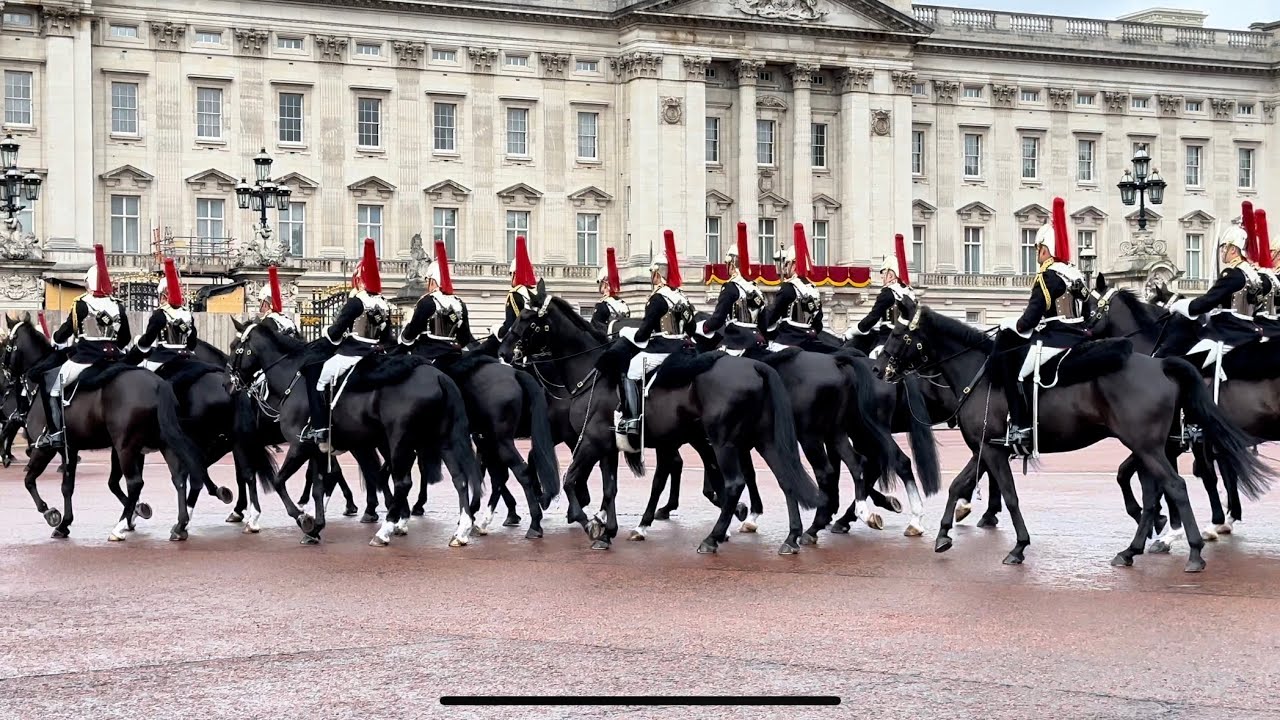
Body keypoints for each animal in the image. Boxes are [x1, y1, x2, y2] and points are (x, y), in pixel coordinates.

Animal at [2, 315, 213, 542]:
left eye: (5, 344)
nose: (5, 376)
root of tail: (158, 384)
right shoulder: (70, 449)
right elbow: (68, 486)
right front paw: (65, 523)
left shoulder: (46, 448)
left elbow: (30, 480)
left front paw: (50, 513)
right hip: (162, 443)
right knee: (178, 477)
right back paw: (180, 525)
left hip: (125, 447)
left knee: (135, 483)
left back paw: (118, 528)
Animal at [228, 320, 488, 547]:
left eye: (234, 346)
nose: (229, 385)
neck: (292, 378)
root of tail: (439, 375)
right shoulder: (317, 449)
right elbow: (319, 486)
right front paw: (315, 527)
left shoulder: (299, 445)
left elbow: (279, 480)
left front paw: (303, 519)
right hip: (442, 439)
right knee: (459, 479)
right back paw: (461, 531)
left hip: (399, 441)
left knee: (403, 482)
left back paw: (385, 531)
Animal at [500, 289, 826, 555]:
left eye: (527, 320)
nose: (503, 352)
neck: (593, 372)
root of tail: (756, 366)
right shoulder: (608, 445)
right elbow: (609, 488)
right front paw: (607, 532)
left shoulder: (592, 440)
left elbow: (570, 480)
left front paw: (591, 524)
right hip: (762, 438)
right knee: (785, 477)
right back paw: (791, 536)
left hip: (724, 441)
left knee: (735, 483)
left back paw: (713, 537)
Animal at [873, 304, 1270, 572]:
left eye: (897, 335)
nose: (877, 369)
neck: (981, 374)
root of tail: (1160, 363)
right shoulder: (984, 448)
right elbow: (958, 485)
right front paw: (943, 534)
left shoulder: (993, 451)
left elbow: (1011, 496)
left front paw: (1018, 547)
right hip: (1149, 447)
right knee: (1155, 493)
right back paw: (1132, 550)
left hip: (1146, 446)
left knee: (1175, 486)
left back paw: (1194, 551)